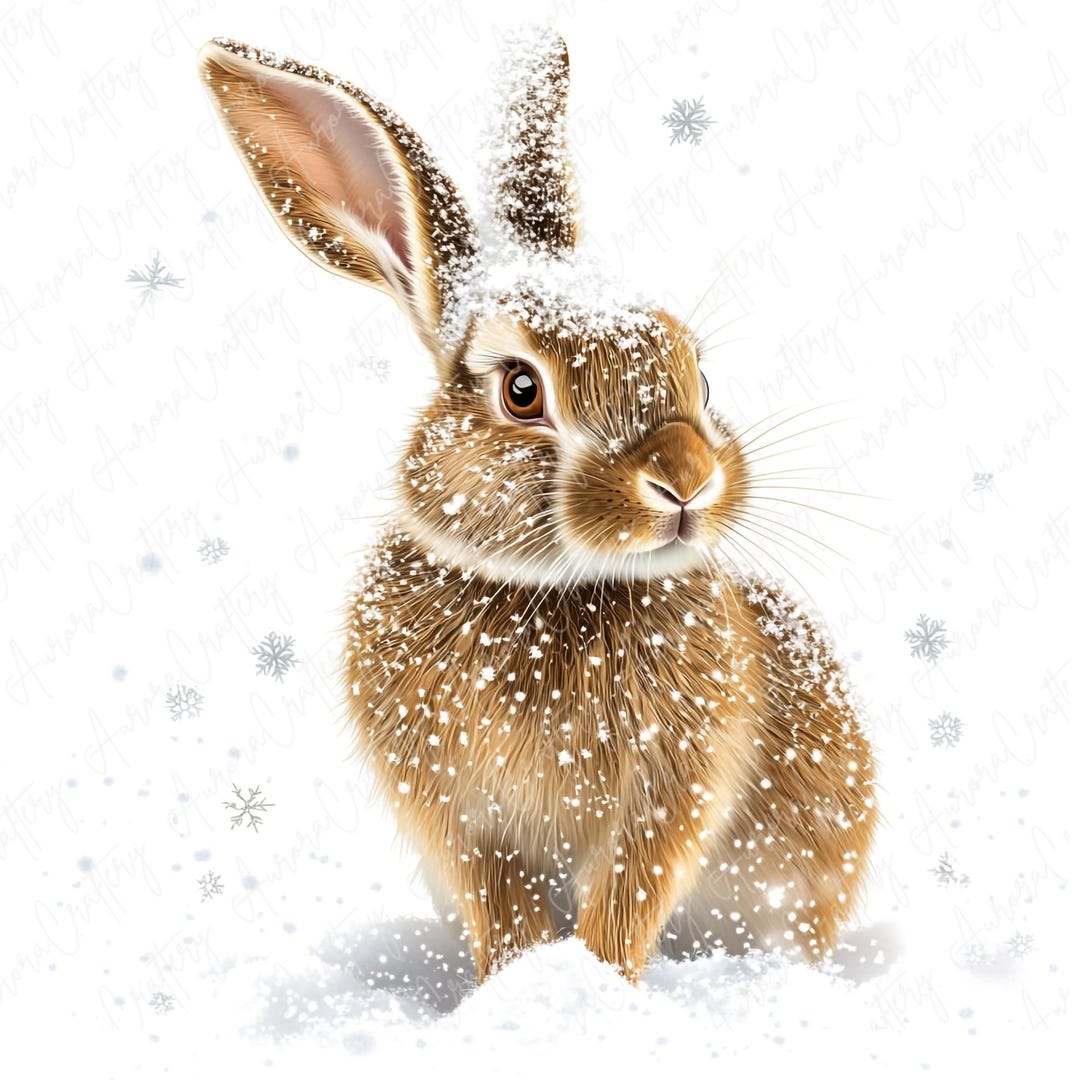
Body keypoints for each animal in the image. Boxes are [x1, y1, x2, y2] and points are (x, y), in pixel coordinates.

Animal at [198, 27, 877, 985]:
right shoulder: (459, 813)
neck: (551, 589)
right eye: (522, 391)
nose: (686, 479)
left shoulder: (671, 788)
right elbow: (506, 907)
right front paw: (525, 990)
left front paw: (589, 991)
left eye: (698, 374)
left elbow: (627, 901)